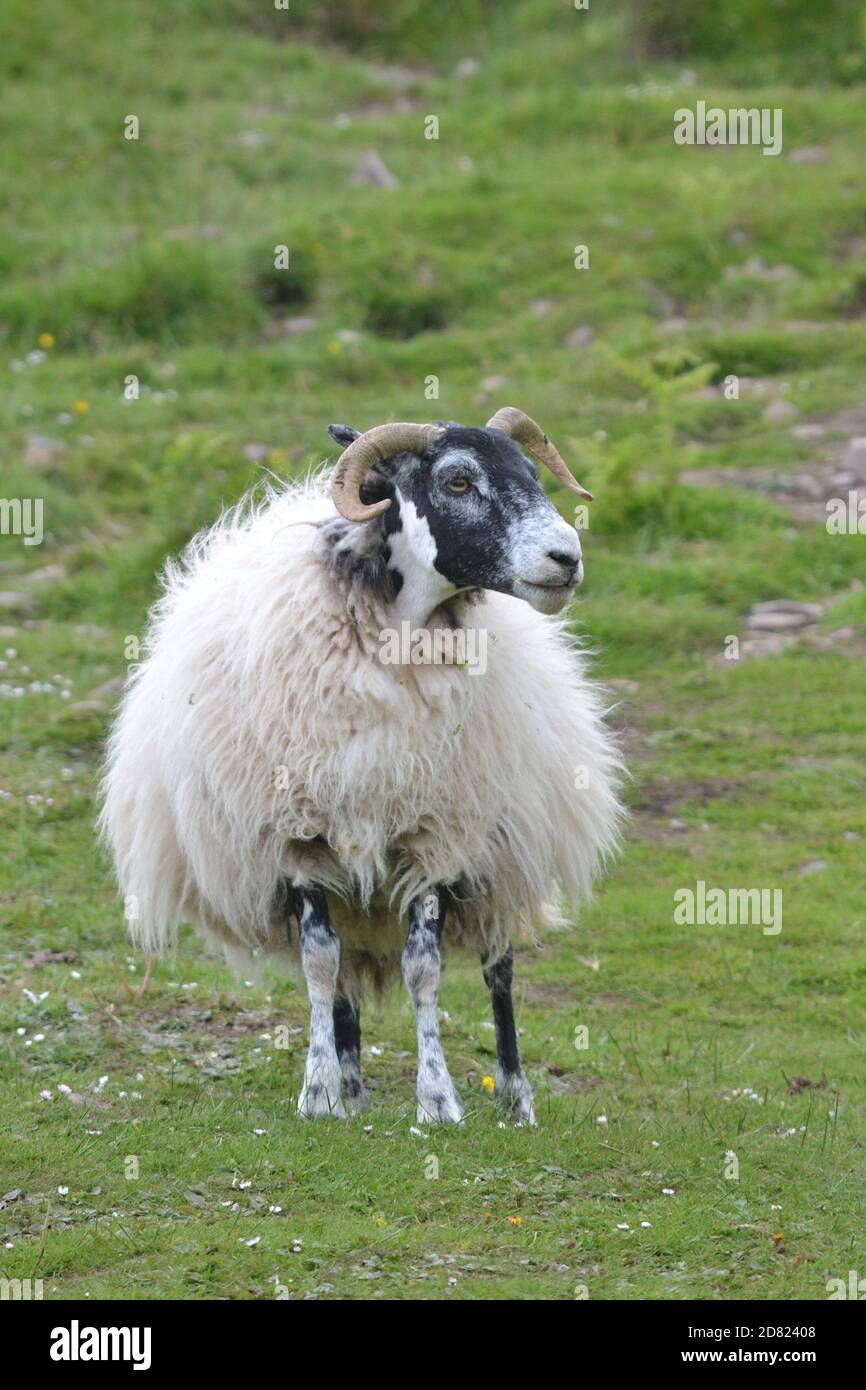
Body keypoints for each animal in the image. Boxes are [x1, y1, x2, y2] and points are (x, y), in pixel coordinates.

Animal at [99, 408, 624, 1125]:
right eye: (458, 481)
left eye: (534, 474)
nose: (566, 559)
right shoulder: (298, 839)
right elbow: (320, 965)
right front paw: (319, 1092)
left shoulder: (437, 838)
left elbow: (424, 969)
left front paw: (437, 1099)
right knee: (345, 966)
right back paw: (351, 1083)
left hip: (500, 852)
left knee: (499, 967)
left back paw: (515, 1097)